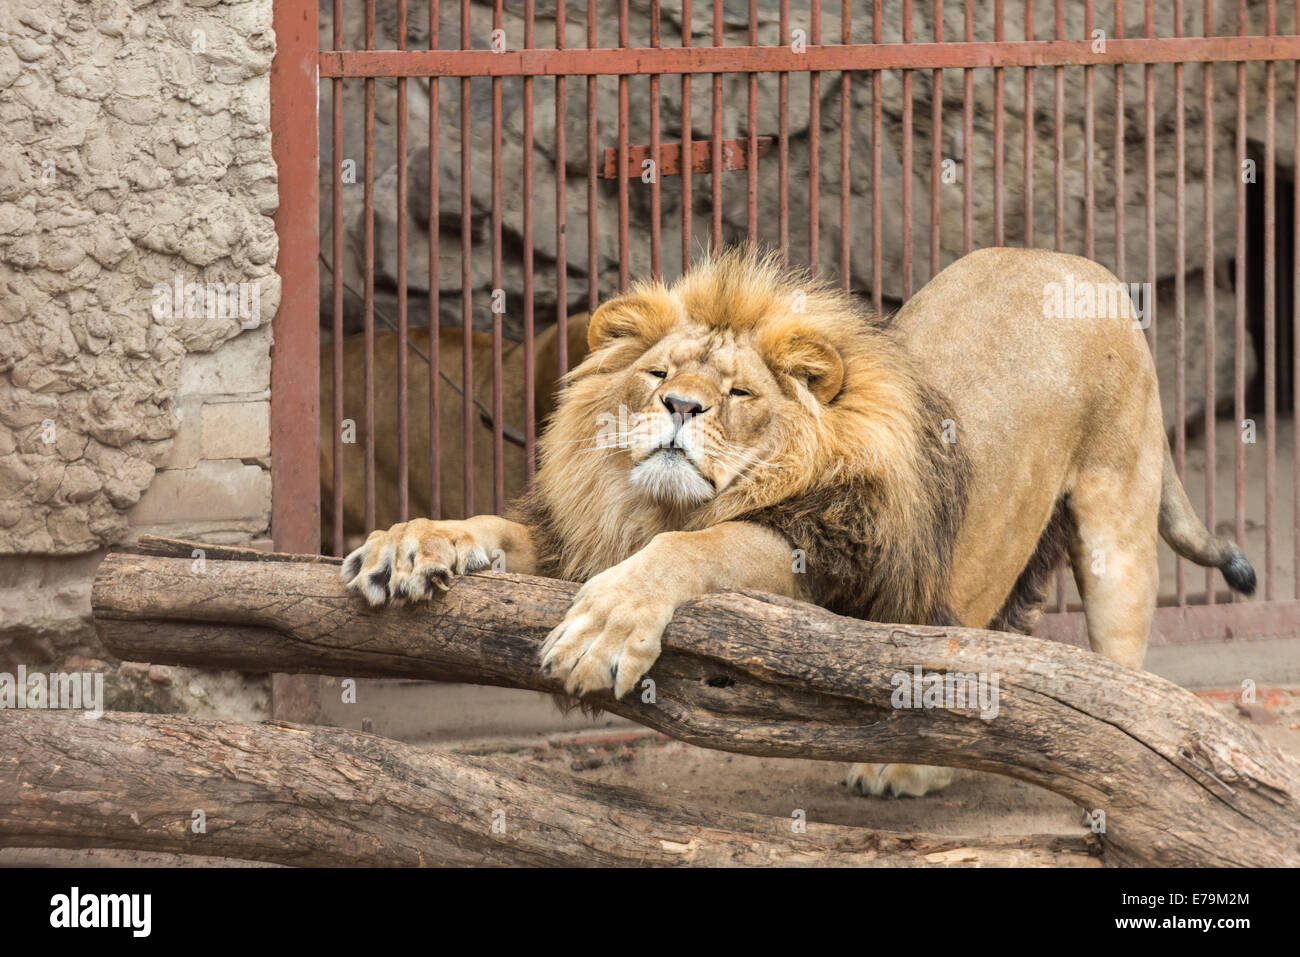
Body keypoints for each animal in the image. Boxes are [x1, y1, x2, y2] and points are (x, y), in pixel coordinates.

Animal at [342, 246, 1255, 798]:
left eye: (737, 393)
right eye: (660, 374)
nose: (680, 407)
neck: (653, 499)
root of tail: (1078, 261)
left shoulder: (824, 563)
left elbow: (698, 543)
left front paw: (603, 629)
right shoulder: (580, 535)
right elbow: (492, 527)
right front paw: (409, 544)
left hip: (1117, 523)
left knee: (1118, 679)